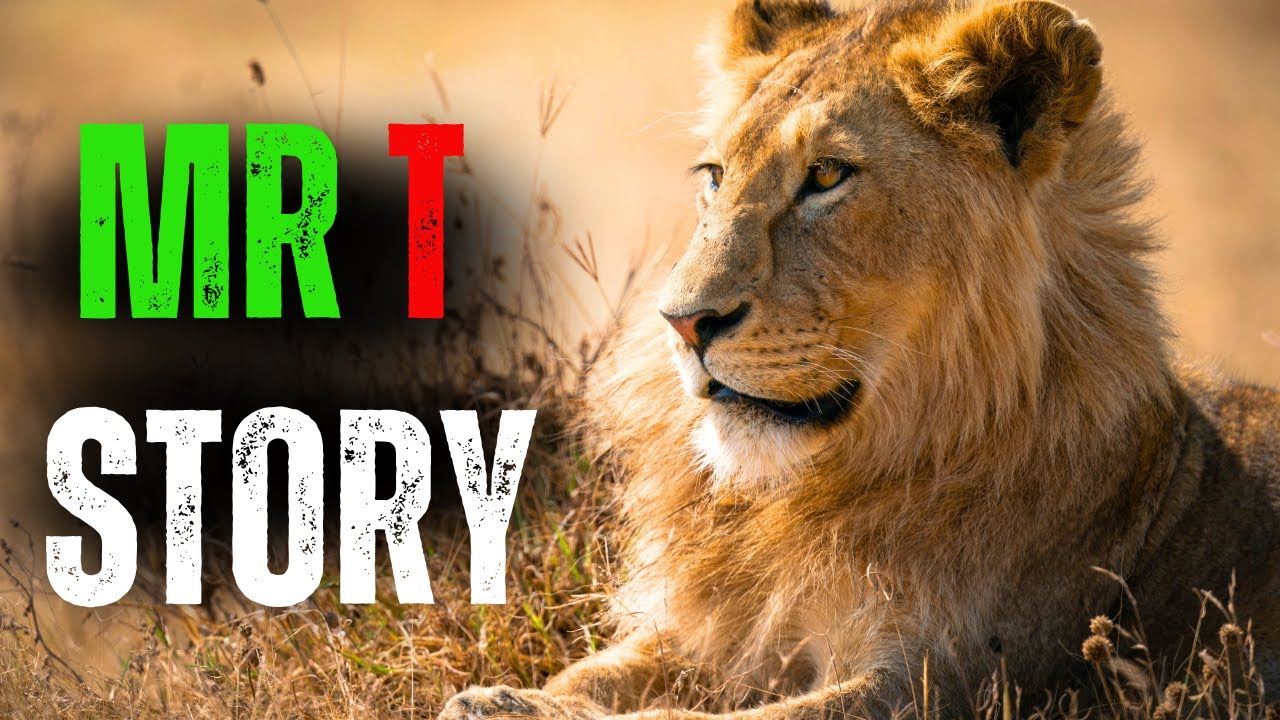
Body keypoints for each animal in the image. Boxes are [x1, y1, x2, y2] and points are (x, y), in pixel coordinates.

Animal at [441, 0, 1280, 717]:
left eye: (826, 176)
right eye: (715, 176)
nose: (681, 322)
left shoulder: (931, 685)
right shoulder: (714, 637)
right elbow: (593, 674)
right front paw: (501, 698)